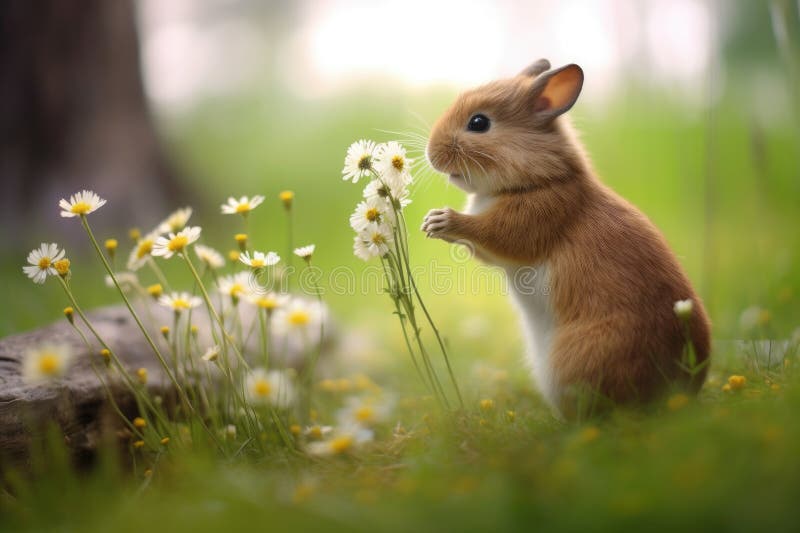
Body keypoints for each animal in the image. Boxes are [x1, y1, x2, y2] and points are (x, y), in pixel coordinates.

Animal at [422, 59, 711, 417]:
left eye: (479, 123)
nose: (430, 153)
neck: (542, 178)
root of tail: (676, 391)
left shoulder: (531, 220)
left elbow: (487, 232)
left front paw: (441, 221)